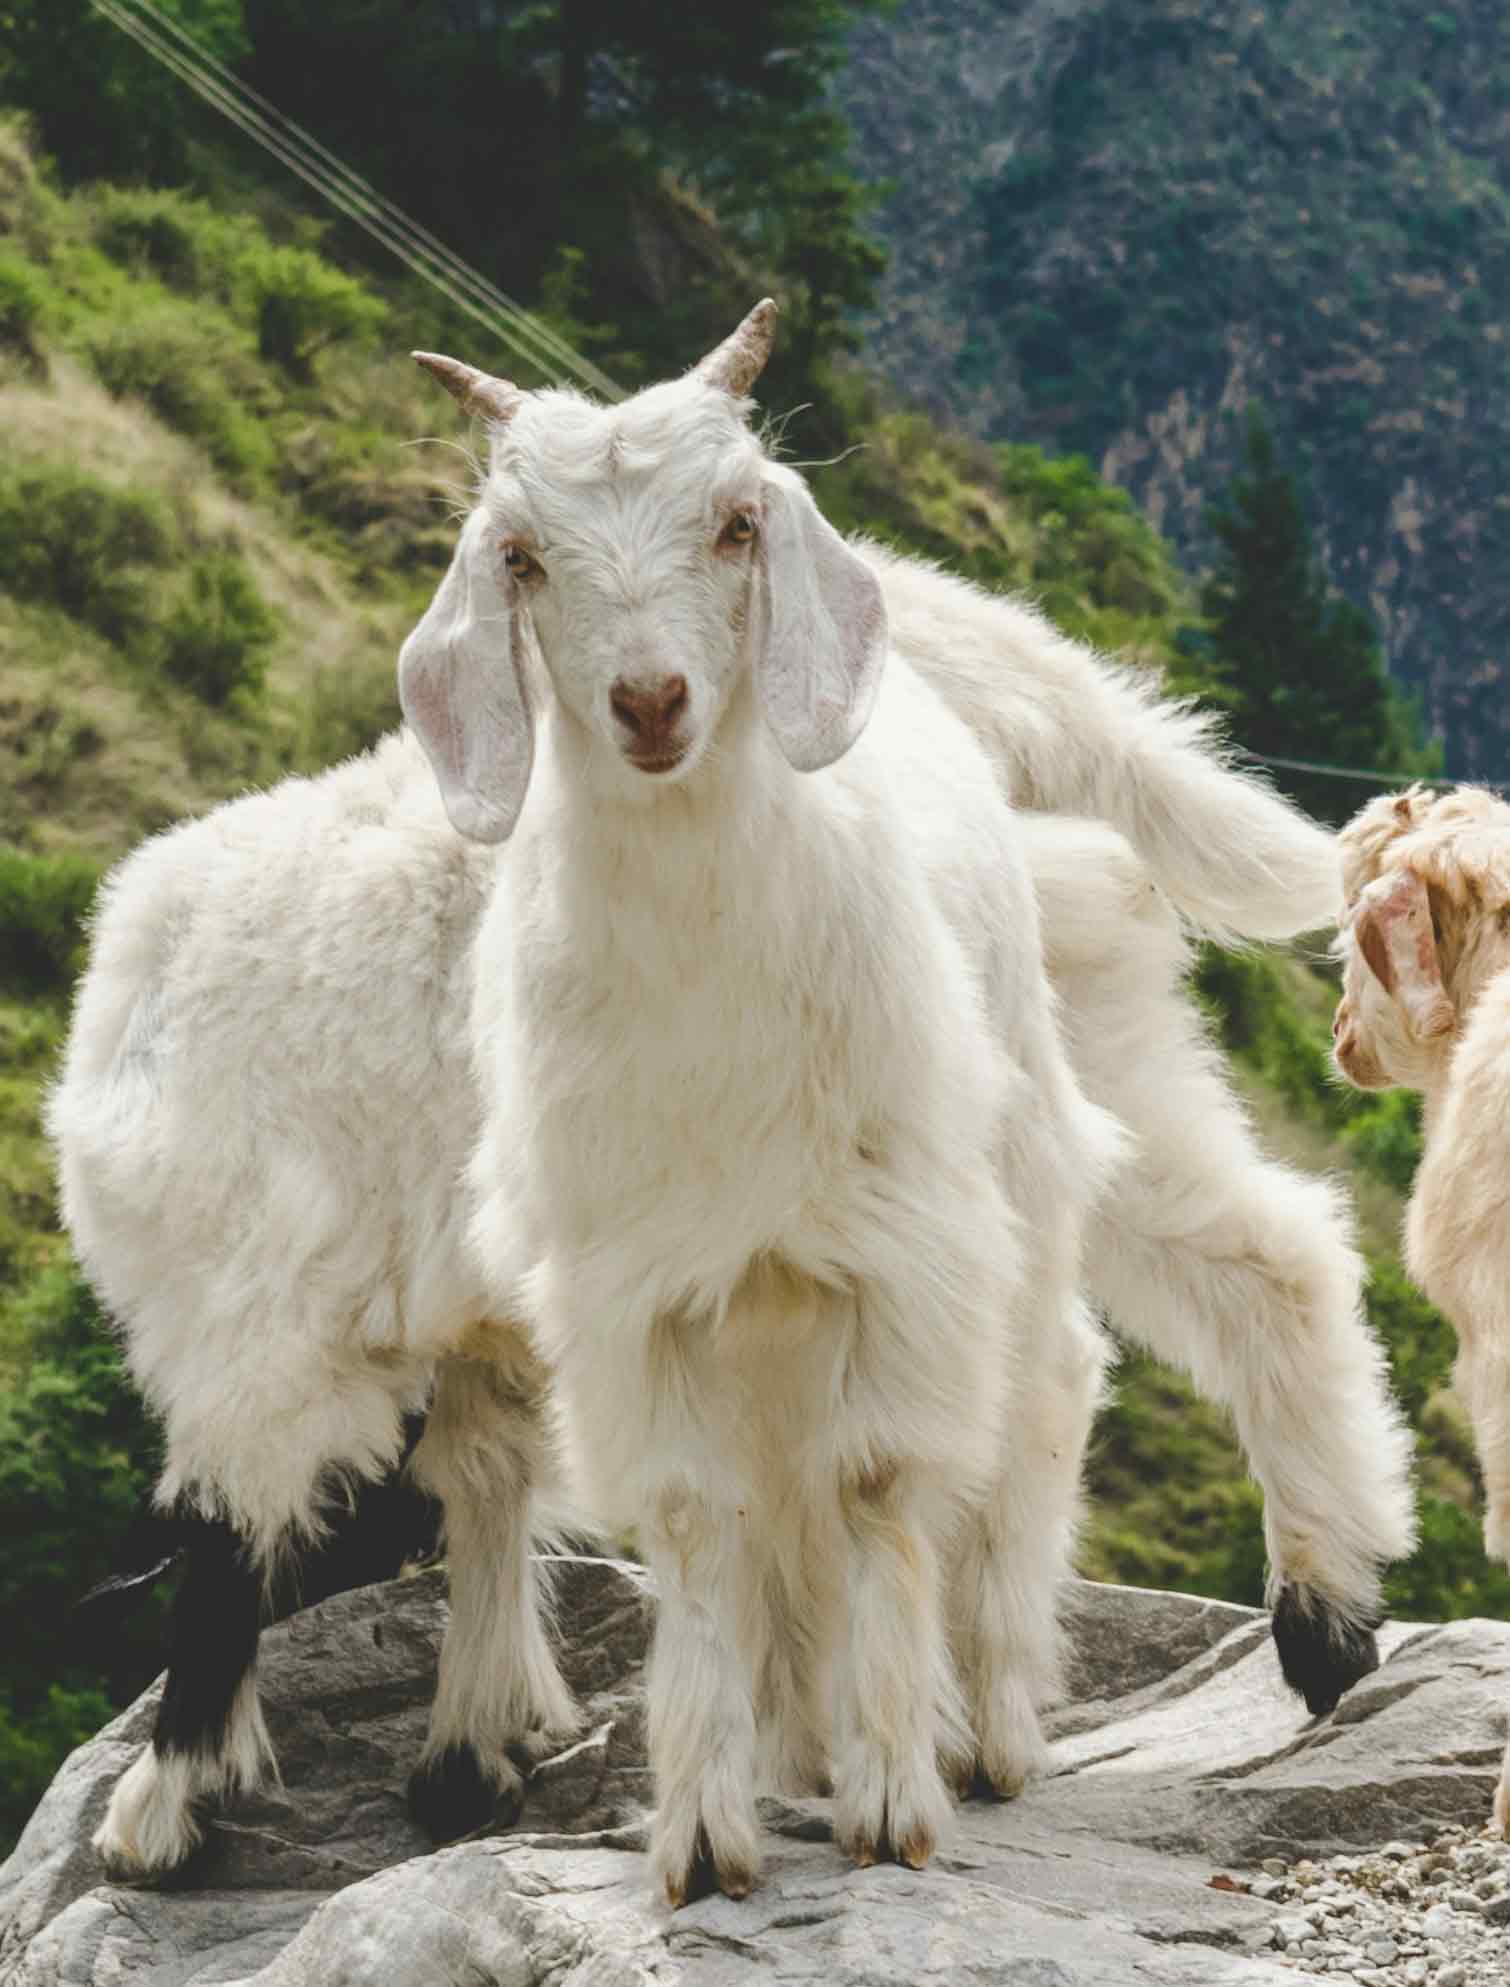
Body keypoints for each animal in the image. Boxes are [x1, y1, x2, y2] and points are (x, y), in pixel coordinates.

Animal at [50, 302, 1412, 1889]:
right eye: (519, 553)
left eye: (735, 520)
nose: (653, 703)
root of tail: (1013, 686)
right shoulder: (521, 1296)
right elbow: (498, 1482)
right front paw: (485, 1744)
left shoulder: (250, 1310)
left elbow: (228, 1535)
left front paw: (167, 1801)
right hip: (1087, 1072)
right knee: (1229, 1267)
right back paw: (1260, 1631)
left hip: (1006, 1110)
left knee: (1091, 1344)